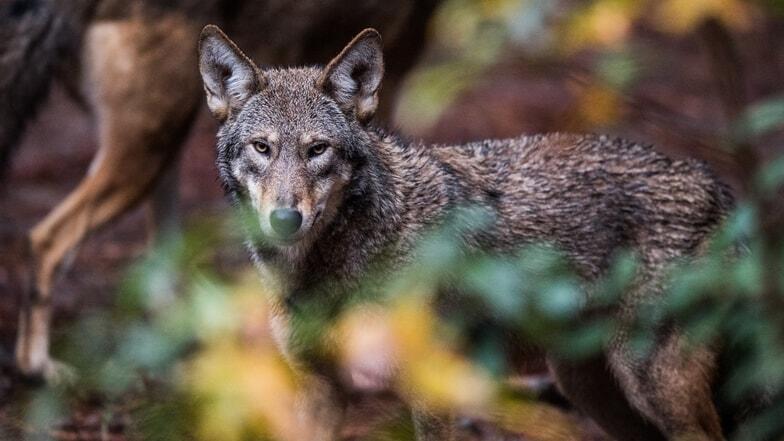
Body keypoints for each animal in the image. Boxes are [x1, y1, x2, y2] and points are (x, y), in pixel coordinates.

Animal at [6, 0, 440, 382]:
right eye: (261, 147)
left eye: (318, 149)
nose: (285, 221)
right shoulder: (395, 72)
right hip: (149, 148)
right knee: (44, 240)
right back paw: (38, 367)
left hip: (161, 147)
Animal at [199, 24, 737, 441]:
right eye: (262, 148)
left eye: (317, 150)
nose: (285, 219)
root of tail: (713, 182)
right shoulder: (318, 390)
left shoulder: (430, 390)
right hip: (589, 388)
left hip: (653, 389)